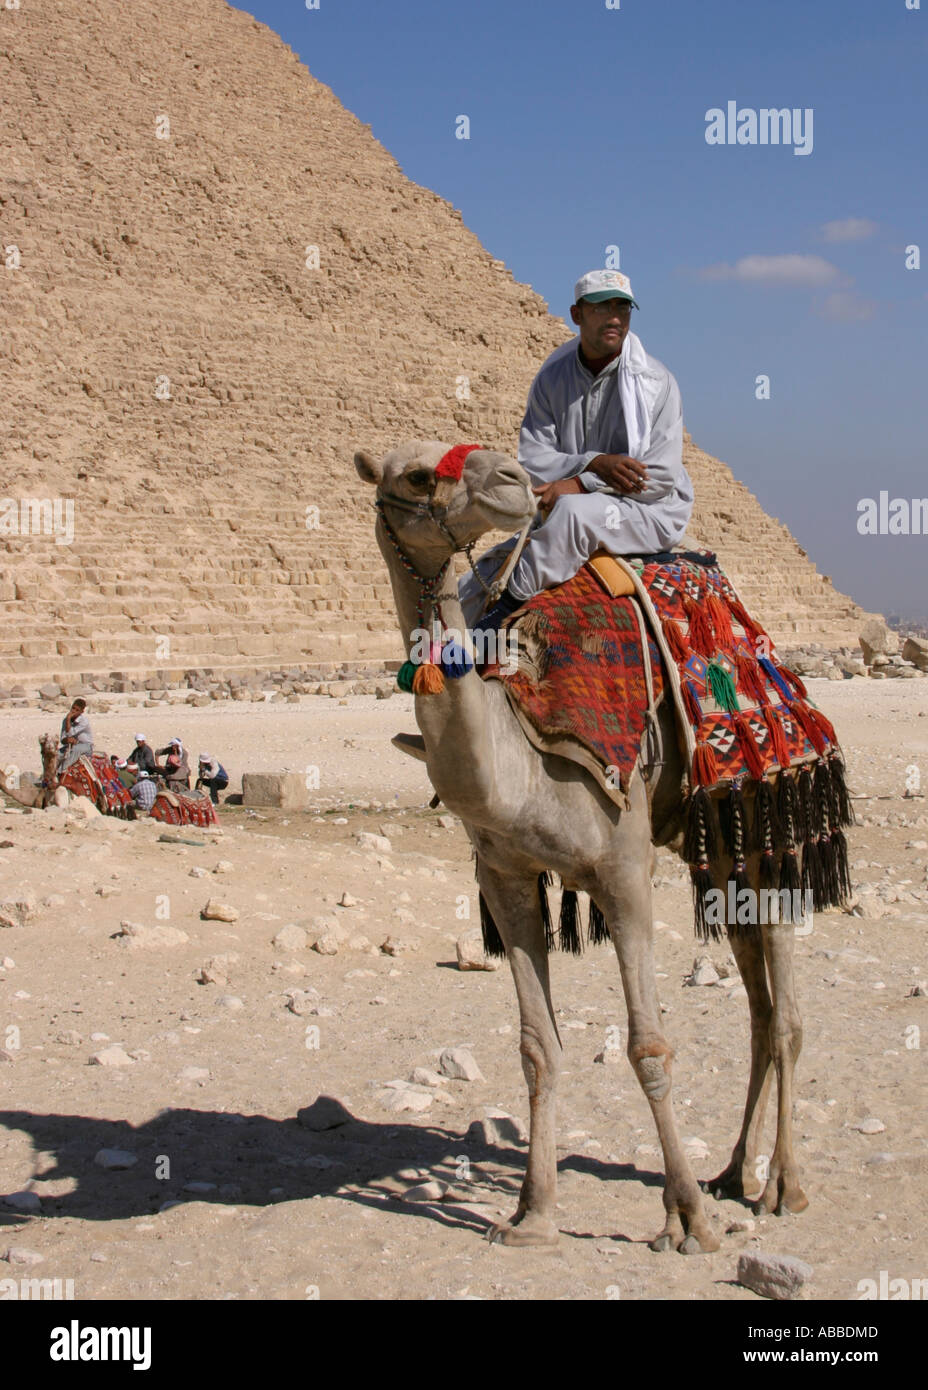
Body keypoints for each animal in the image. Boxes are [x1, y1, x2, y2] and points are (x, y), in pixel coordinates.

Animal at [355, 439, 811, 1253]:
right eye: (416, 474)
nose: (514, 482)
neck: (519, 761)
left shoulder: (623, 869)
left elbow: (647, 1049)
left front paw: (688, 1222)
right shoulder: (505, 877)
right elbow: (538, 1048)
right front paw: (532, 1213)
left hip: (761, 814)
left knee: (784, 1009)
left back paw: (781, 1187)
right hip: (715, 846)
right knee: (757, 1003)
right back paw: (734, 1172)